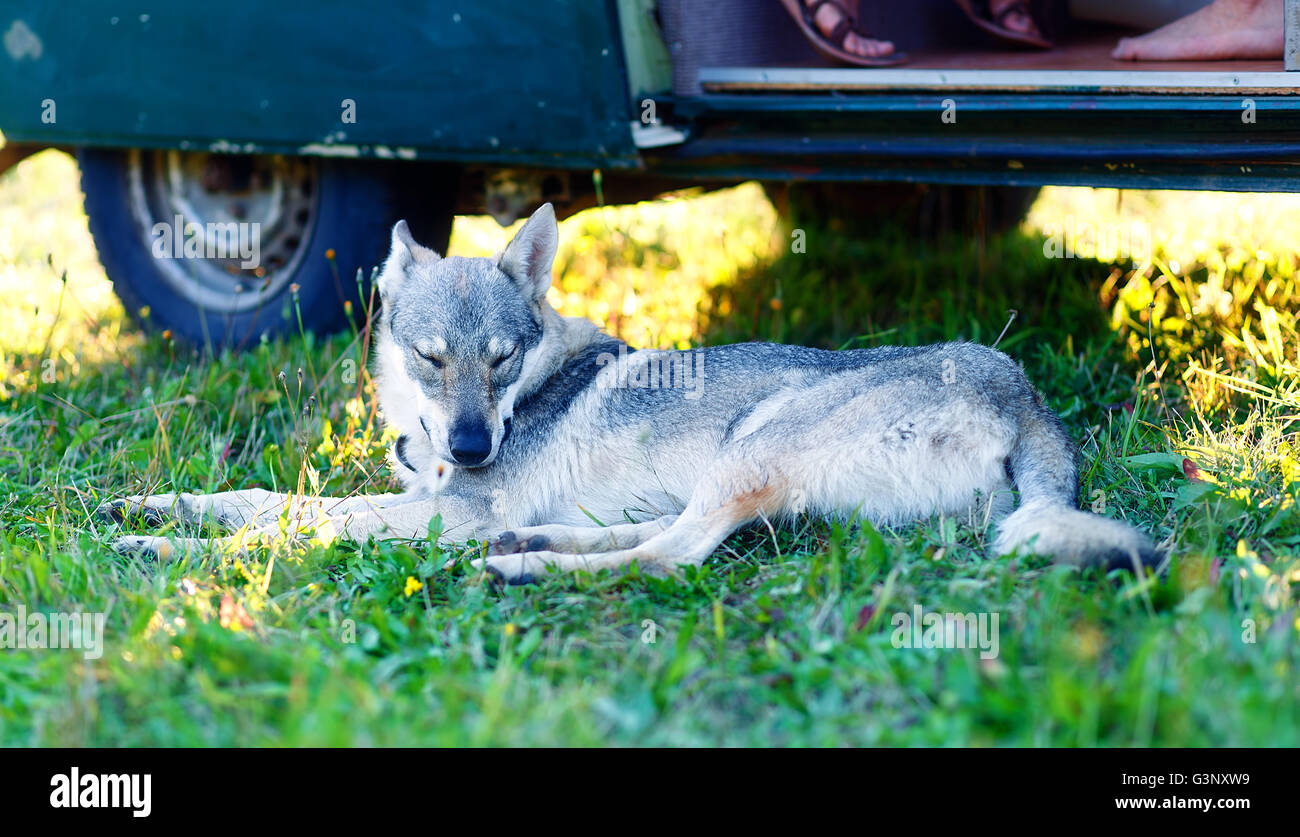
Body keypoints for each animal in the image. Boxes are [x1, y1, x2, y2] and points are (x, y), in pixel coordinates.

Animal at [101, 203, 1160, 583]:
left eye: (500, 359)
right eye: (433, 358)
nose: (474, 447)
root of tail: (1027, 396)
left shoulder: (446, 506)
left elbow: (294, 527)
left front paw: (163, 546)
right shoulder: (434, 496)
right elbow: (261, 497)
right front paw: (151, 505)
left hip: (753, 448)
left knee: (670, 558)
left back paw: (526, 566)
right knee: (656, 537)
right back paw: (526, 546)